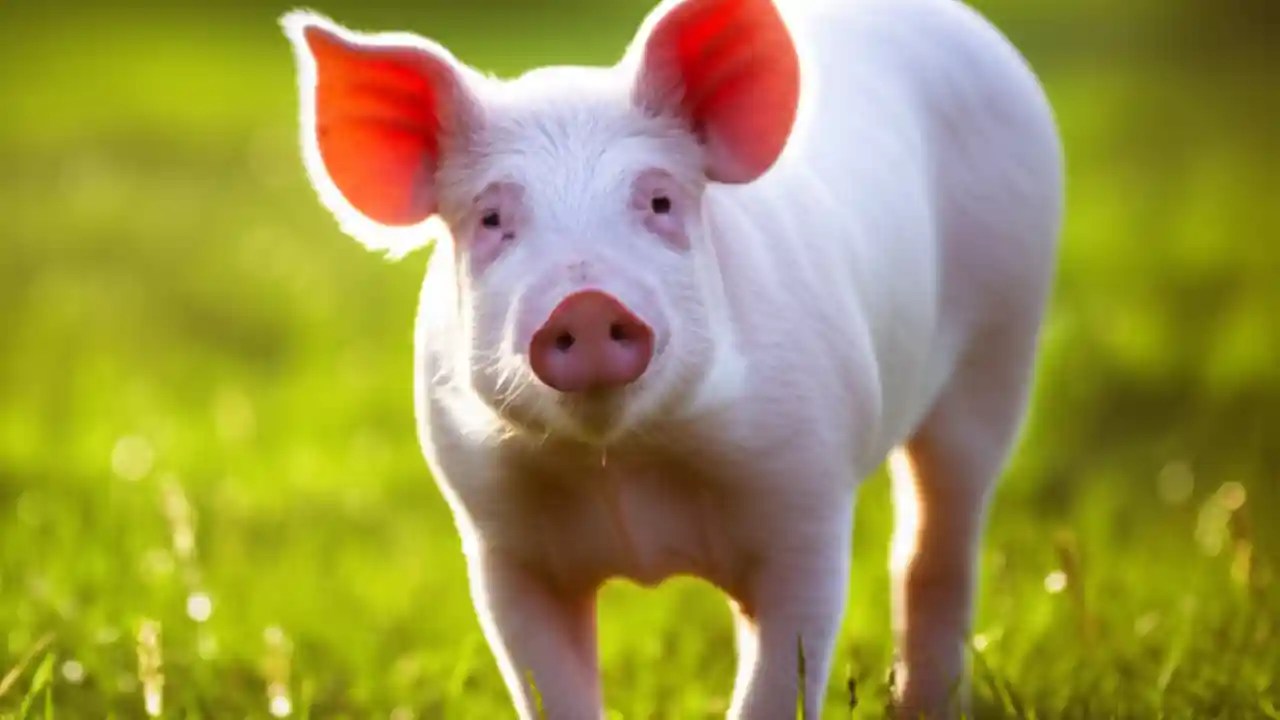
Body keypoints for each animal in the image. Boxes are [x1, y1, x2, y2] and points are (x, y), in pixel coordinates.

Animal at [282, 0, 1063, 716]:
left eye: (658, 200)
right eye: (492, 218)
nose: (584, 303)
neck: (624, 466)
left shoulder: (808, 499)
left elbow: (781, 680)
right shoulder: (500, 541)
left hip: (1004, 340)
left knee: (935, 543)